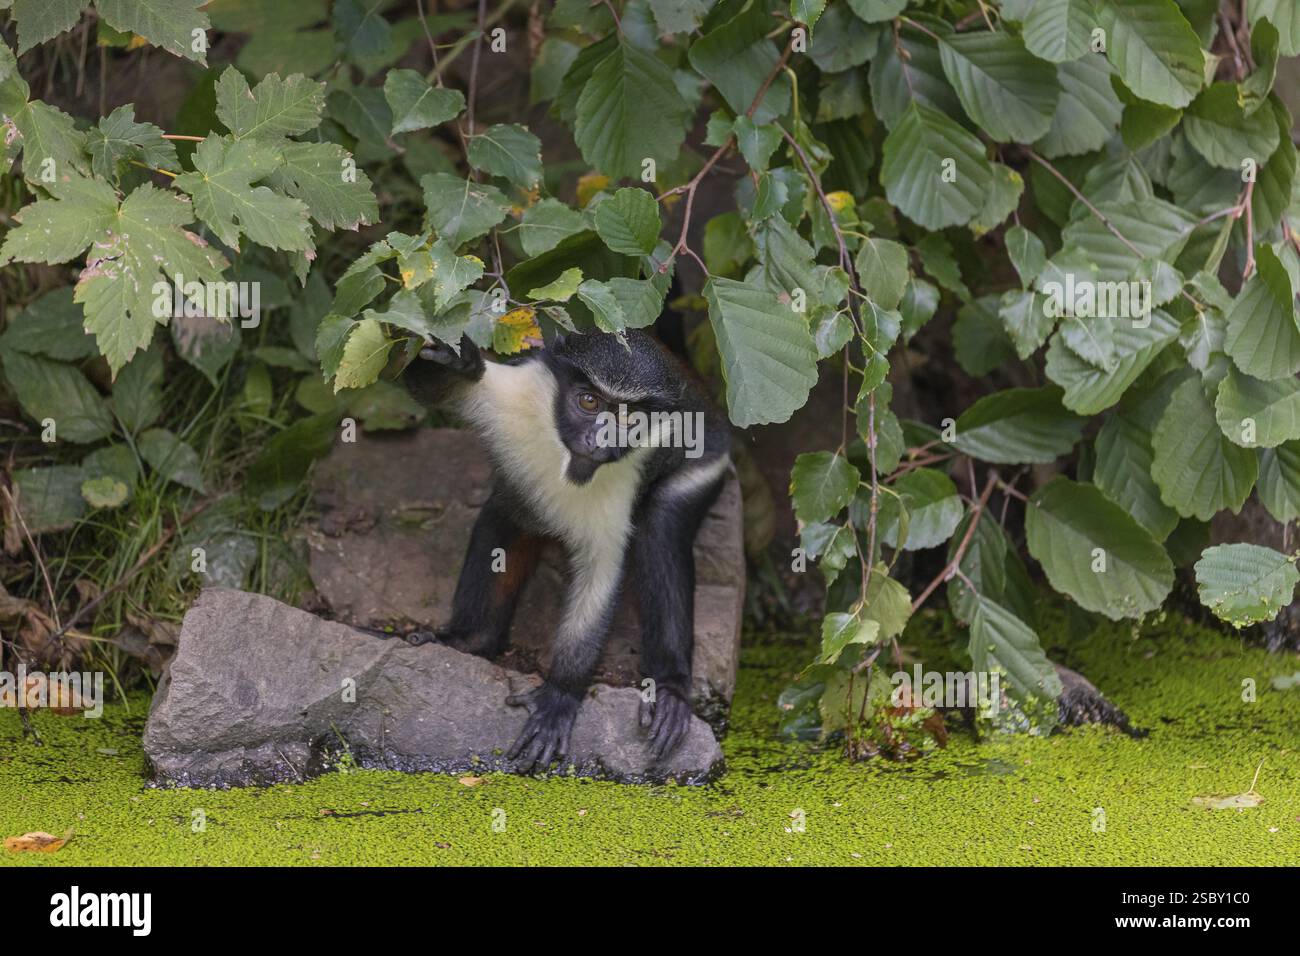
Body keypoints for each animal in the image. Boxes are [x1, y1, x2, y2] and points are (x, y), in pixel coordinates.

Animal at [399, 329, 732, 771]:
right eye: (589, 402)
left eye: (629, 417)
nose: (599, 439)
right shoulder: (517, 395)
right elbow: (435, 391)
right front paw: (455, 360)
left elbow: (602, 572)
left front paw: (560, 694)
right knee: (504, 516)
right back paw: (469, 639)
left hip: (705, 465)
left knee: (661, 528)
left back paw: (671, 688)